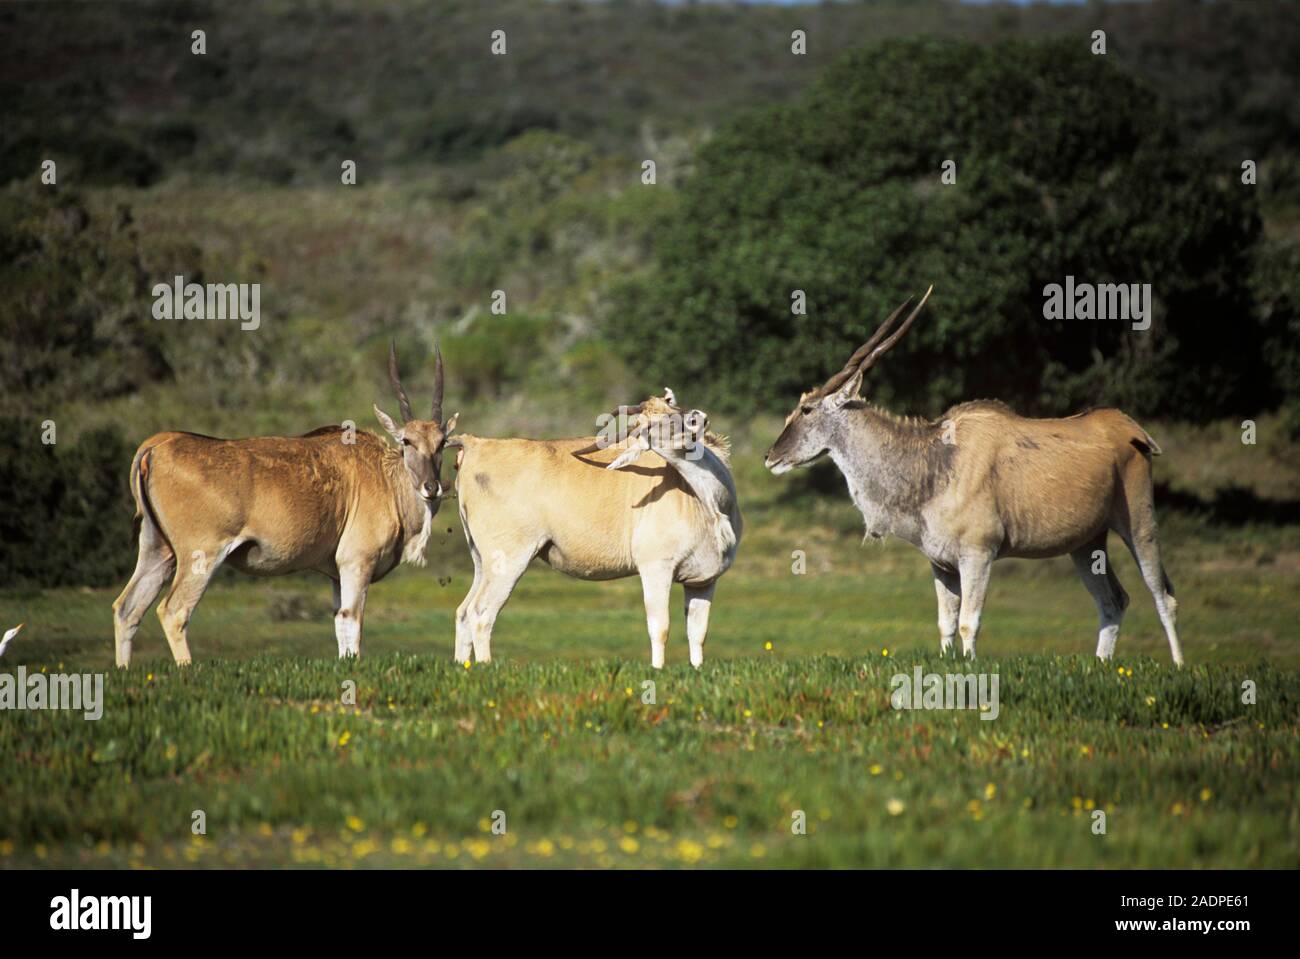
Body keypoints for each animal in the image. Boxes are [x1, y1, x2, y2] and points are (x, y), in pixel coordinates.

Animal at [110, 345, 458, 667]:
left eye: (442, 443)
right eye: (407, 441)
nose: (431, 487)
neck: (384, 475)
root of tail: (157, 445)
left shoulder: (337, 573)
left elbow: (341, 625)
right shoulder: (356, 563)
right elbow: (353, 620)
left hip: (158, 552)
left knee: (127, 609)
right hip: (201, 555)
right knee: (174, 611)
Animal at [450, 391, 741, 668]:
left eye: (670, 405)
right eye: (649, 427)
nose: (695, 418)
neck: (710, 504)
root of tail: (476, 444)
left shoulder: (704, 581)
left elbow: (698, 633)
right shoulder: (656, 568)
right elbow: (660, 629)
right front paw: (657, 670)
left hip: (481, 561)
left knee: (463, 611)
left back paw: (463, 665)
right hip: (508, 560)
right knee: (480, 612)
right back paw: (485, 665)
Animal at [764, 287, 1184, 666]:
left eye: (806, 409)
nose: (770, 456)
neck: (934, 462)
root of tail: (1130, 430)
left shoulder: (978, 555)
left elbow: (969, 622)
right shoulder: (941, 564)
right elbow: (946, 623)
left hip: (1139, 525)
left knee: (1163, 595)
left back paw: (1179, 666)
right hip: (1086, 544)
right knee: (1113, 600)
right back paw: (1101, 666)